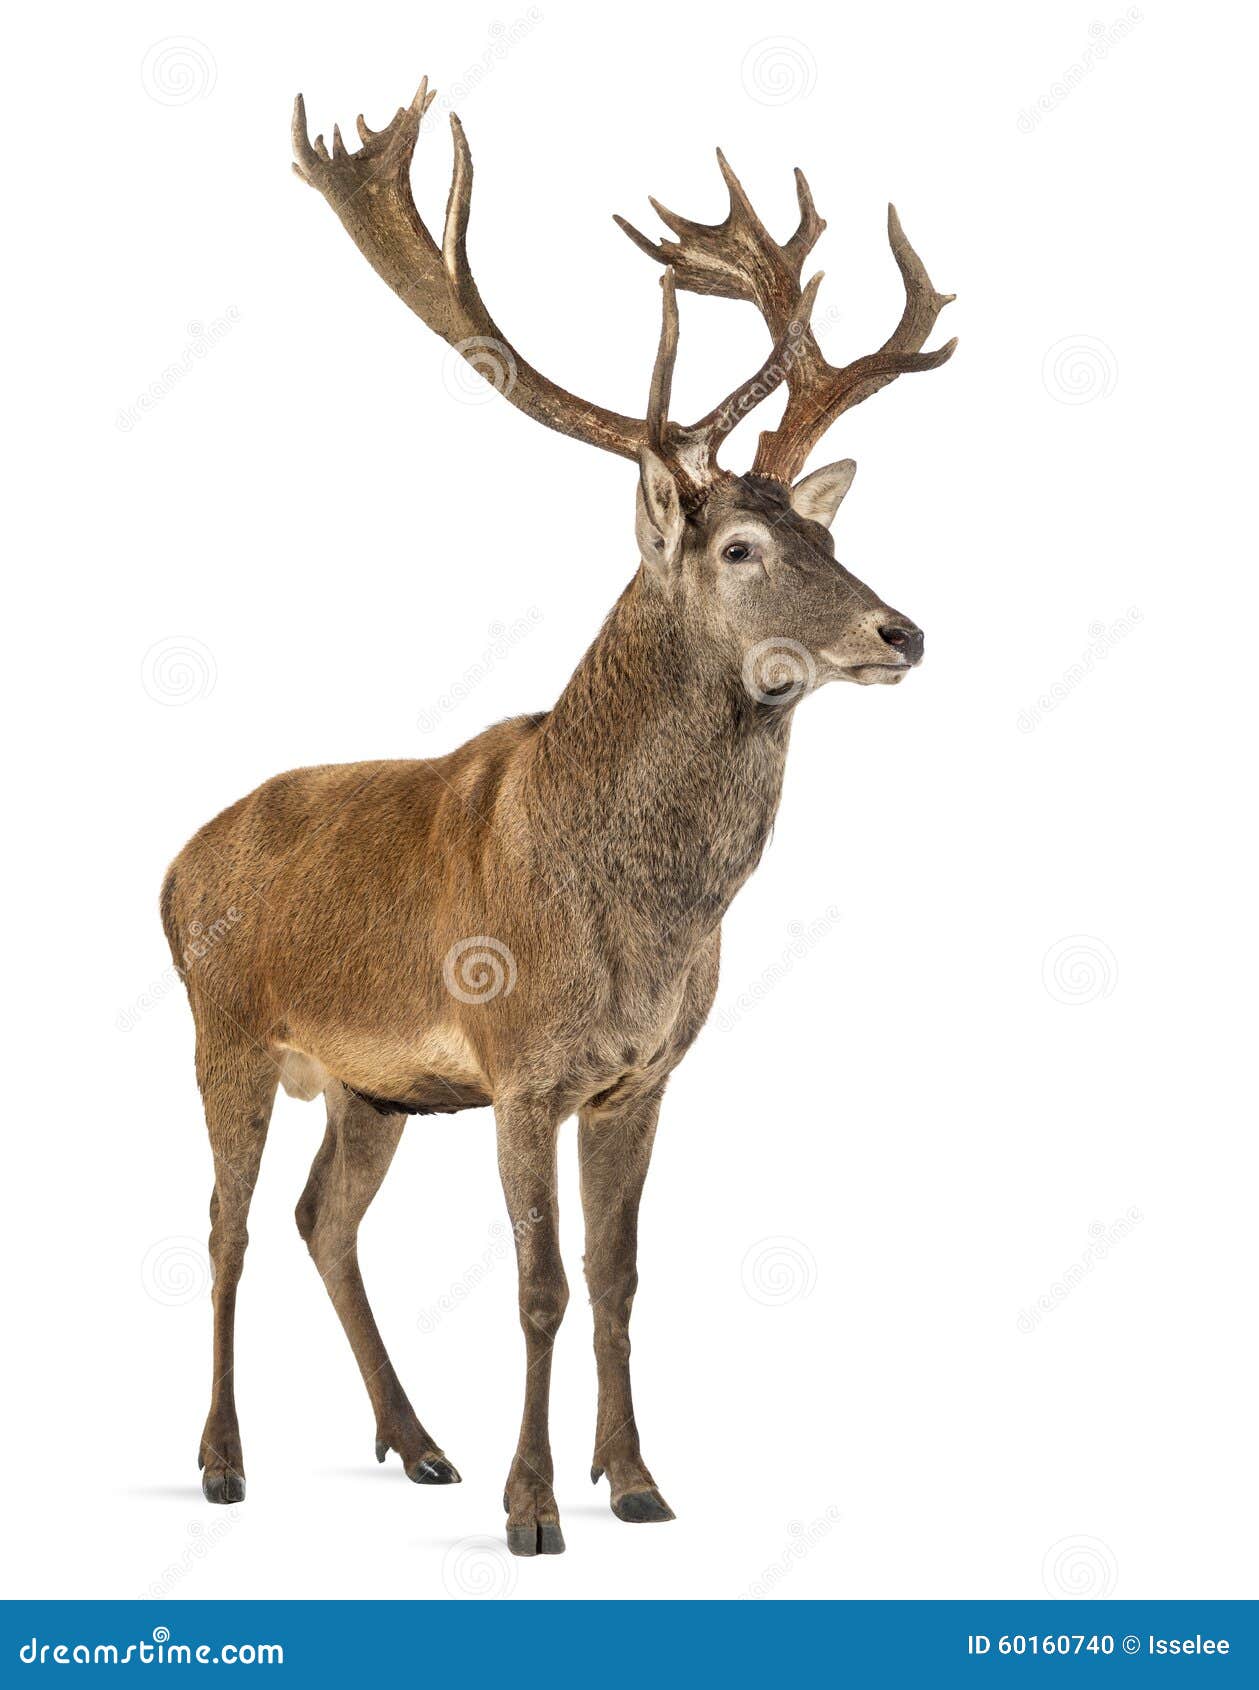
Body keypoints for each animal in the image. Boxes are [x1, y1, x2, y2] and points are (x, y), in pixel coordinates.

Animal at [159, 73, 956, 1558]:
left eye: (823, 535)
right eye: (738, 548)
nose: (900, 630)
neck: (634, 917)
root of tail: (172, 863)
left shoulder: (642, 1073)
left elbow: (618, 1273)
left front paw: (634, 1479)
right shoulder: (520, 1061)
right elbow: (538, 1284)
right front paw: (535, 1509)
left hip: (369, 1081)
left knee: (319, 1217)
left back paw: (418, 1443)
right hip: (223, 1026)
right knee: (224, 1225)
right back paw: (225, 1462)